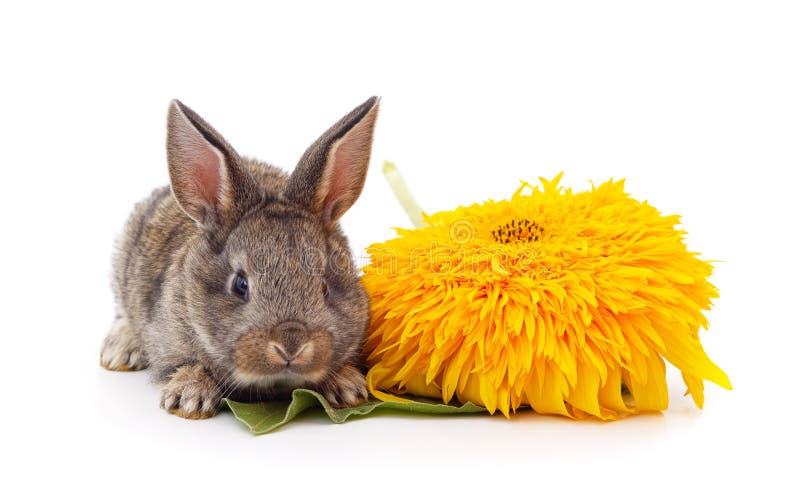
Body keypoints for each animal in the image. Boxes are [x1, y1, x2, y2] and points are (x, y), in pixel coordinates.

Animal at [100, 96, 379, 419]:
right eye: (240, 285)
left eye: (325, 286)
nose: (291, 345)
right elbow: (188, 366)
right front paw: (189, 398)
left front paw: (348, 387)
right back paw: (120, 351)